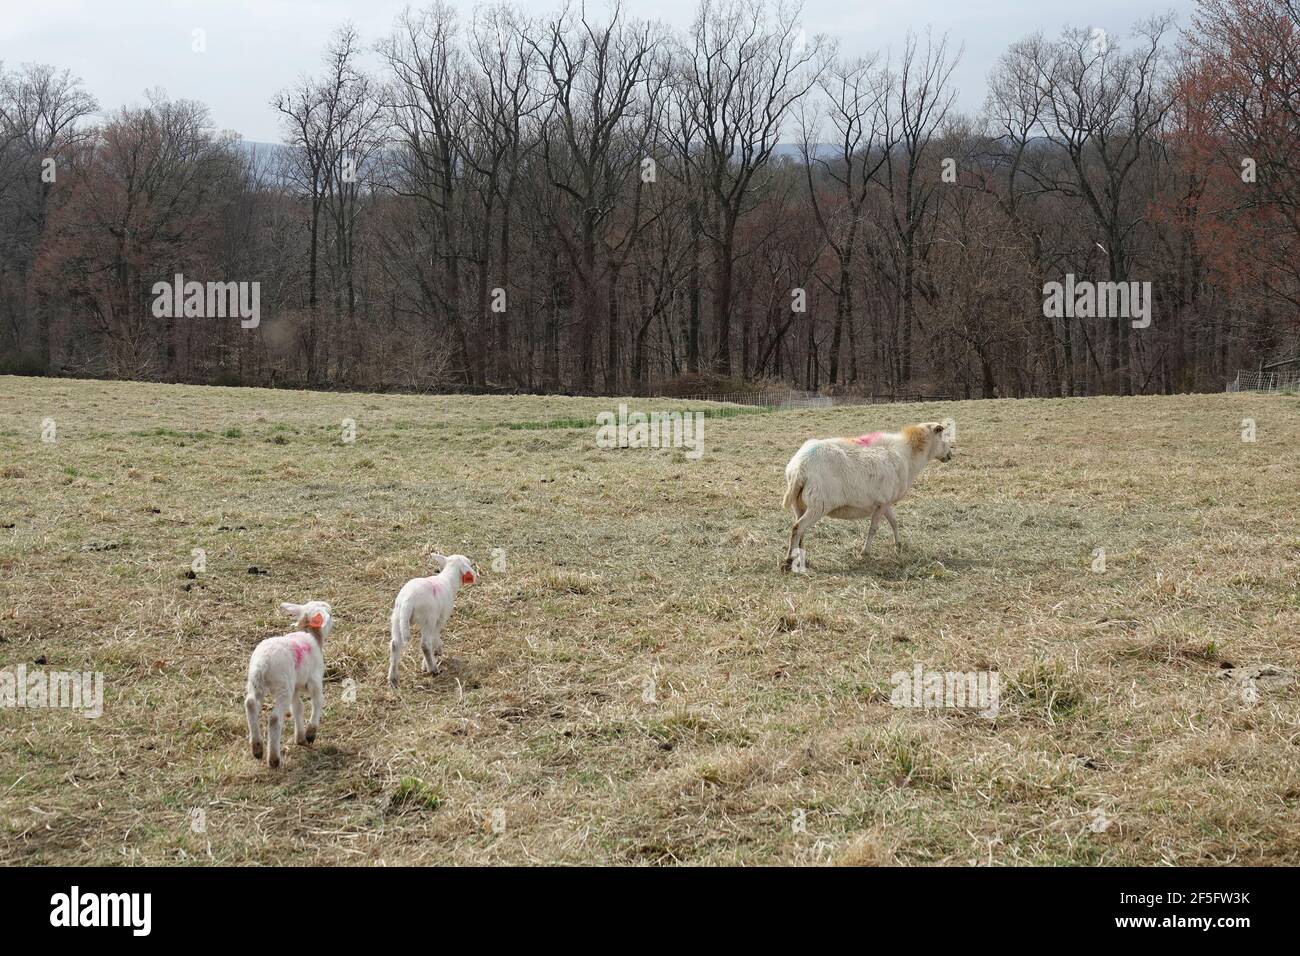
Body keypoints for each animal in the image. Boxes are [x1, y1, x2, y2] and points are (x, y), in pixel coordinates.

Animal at [245, 600, 332, 768]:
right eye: (329, 614)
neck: (312, 635)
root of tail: (263, 664)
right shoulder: (315, 680)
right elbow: (318, 701)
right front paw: (311, 733)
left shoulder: (295, 688)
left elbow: (298, 707)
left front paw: (300, 738)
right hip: (282, 687)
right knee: (274, 719)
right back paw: (273, 759)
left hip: (255, 682)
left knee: (250, 704)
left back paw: (257, 747)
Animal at [388, 554, 479, 689]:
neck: (448, 579)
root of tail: (408, 601)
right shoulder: (440, 618)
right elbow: (435, 637)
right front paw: (435, 653)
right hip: (428, 619)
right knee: (425, 644)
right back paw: (433, 668)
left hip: (397, 617)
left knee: (395, 644)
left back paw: (393, 678)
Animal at [781, 422, 954, 572]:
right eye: (944, 439)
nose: (950, 455)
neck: (909, 455)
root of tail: (799, 467)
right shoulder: (882, 503)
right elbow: (873, 529)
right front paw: (865, 552)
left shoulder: (885, 502)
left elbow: (894, 522)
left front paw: (898, 544)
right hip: (819, 505)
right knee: (797, 528)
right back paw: (789, 560)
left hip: (799, 504)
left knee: (800, 530)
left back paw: (799, 557)